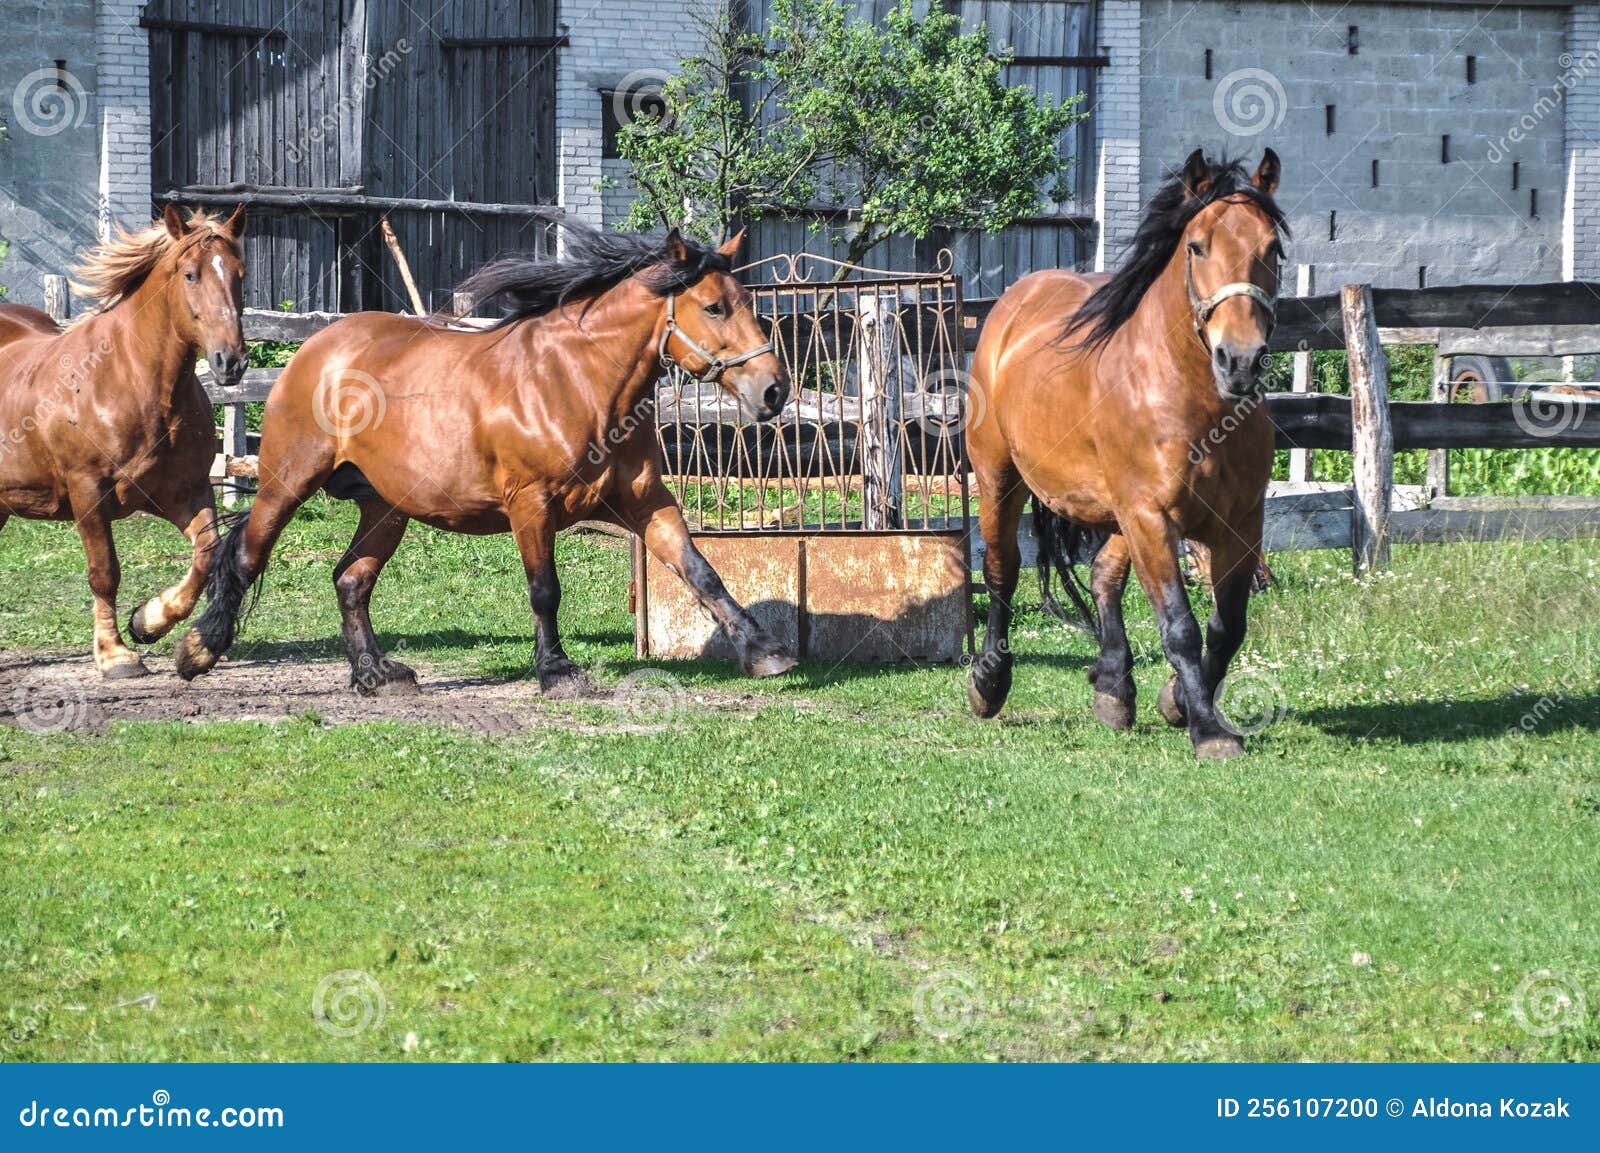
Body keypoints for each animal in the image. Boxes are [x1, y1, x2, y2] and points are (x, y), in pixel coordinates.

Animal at [0, 205, 247, 677]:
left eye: (239, 275)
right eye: (190, 275)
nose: (232, 361)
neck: (126, 380)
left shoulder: (185, 492)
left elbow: (206, 555)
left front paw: (149, 621)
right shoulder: (87, 493)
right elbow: (104, 572)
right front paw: (114, 653)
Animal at [176, 221, 798, 695]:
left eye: (749, 304)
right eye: (714, 308)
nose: (774, 390)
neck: (576, 382)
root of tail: (315, 349)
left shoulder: (646, 501)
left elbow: (700, 570)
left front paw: (765, 649)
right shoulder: (531, 505)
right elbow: (545, 589)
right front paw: (557, 672)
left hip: (385, 507)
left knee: (351, 580)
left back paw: (376, 673)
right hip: (288, 483)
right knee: (245, 556)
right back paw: (197, 650)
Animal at [966, 149, 1285, 759]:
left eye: (1273, 248)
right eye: (1197, 246)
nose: (1240, 360)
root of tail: (1013, 304)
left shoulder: (1241, 523)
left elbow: (1227, 625)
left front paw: (1178, 702)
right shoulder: (1151, 517)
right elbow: (1181, 625)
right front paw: (1209, 731)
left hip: (1117, 512)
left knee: (1103, 578)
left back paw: (1114, 686)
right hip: (1000, 477)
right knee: (1002, 572)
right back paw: (989, 683)